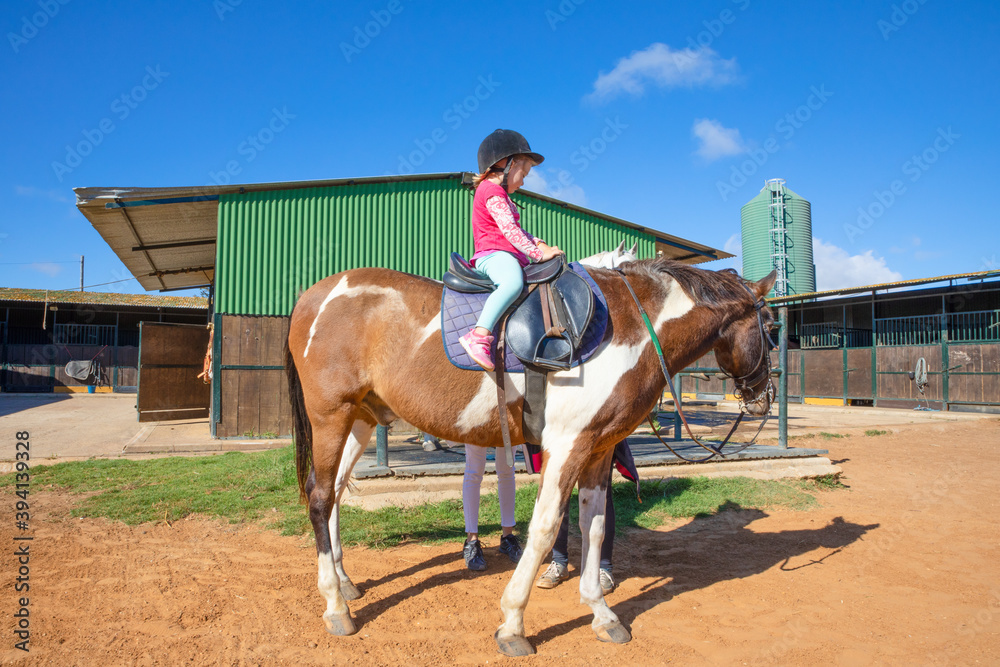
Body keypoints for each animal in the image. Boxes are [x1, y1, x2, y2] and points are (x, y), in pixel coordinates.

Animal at [284, 252, 777, 656]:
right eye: (772, 329)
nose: (763, 398)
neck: (631, 326)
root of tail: (312, 296)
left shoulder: (598, 449)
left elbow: (593, 526)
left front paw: (602, 615)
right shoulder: (569, 445)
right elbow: (544, 529)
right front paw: (513, 624)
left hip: (361, 418)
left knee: (335, 493)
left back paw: (346, 585)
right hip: (331, 415)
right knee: (319, 496)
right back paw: (336, 607)